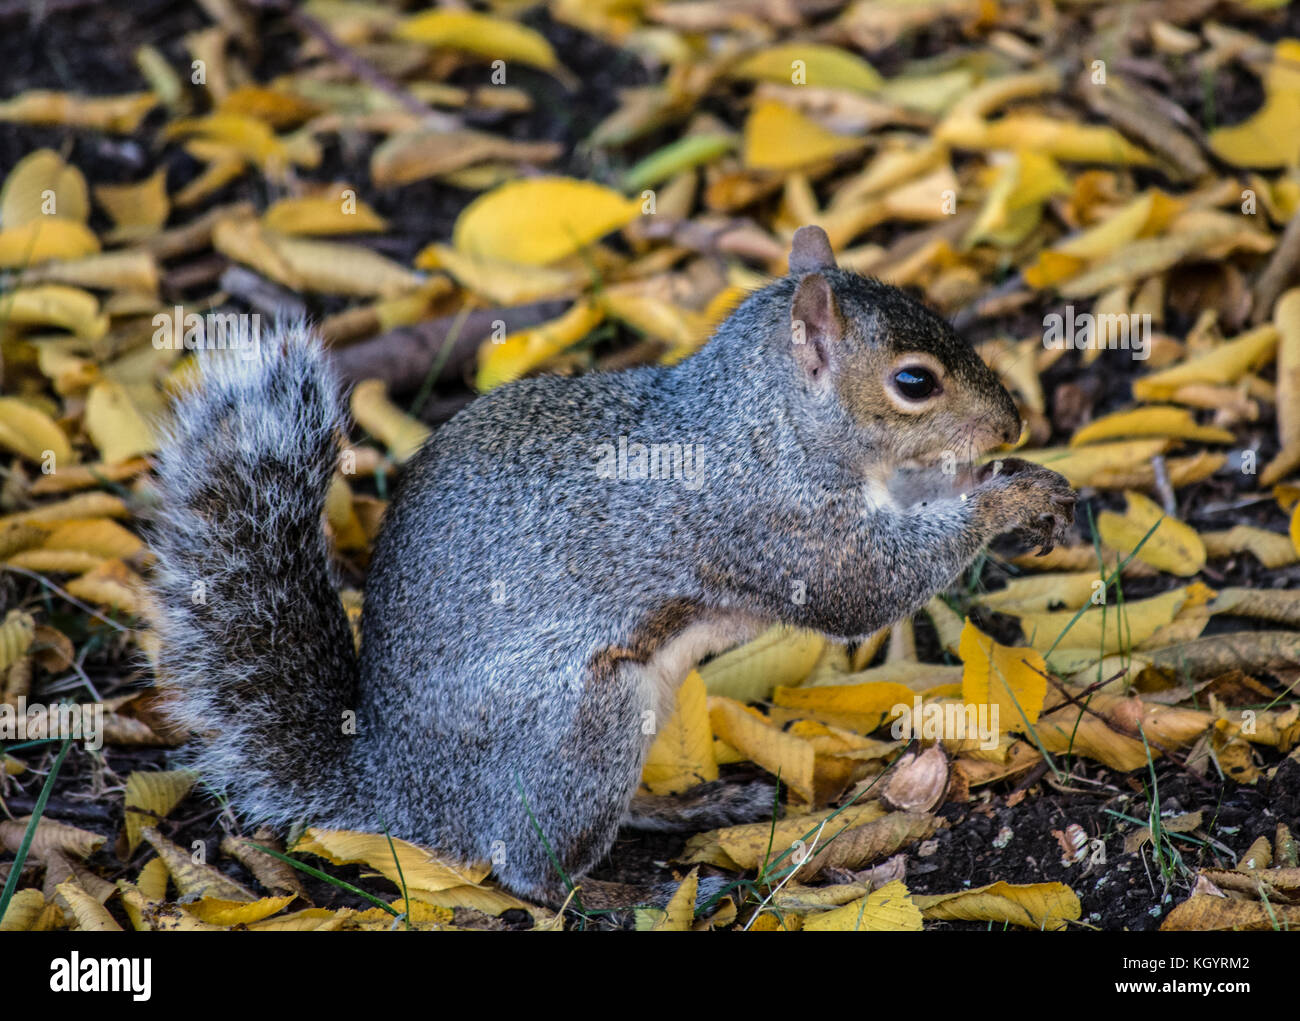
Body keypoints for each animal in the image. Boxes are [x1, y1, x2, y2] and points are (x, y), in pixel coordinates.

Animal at [151, 226, 1075, 907]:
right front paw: (1008, 499)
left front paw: (1028, 484)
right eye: (914, 382)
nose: (1011, 426)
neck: (762, 420)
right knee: (526, 864)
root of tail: (397, 788)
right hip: (584, 722)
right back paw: (603, 894)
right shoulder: (775, 525)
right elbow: (865, 588)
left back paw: (692, 804)